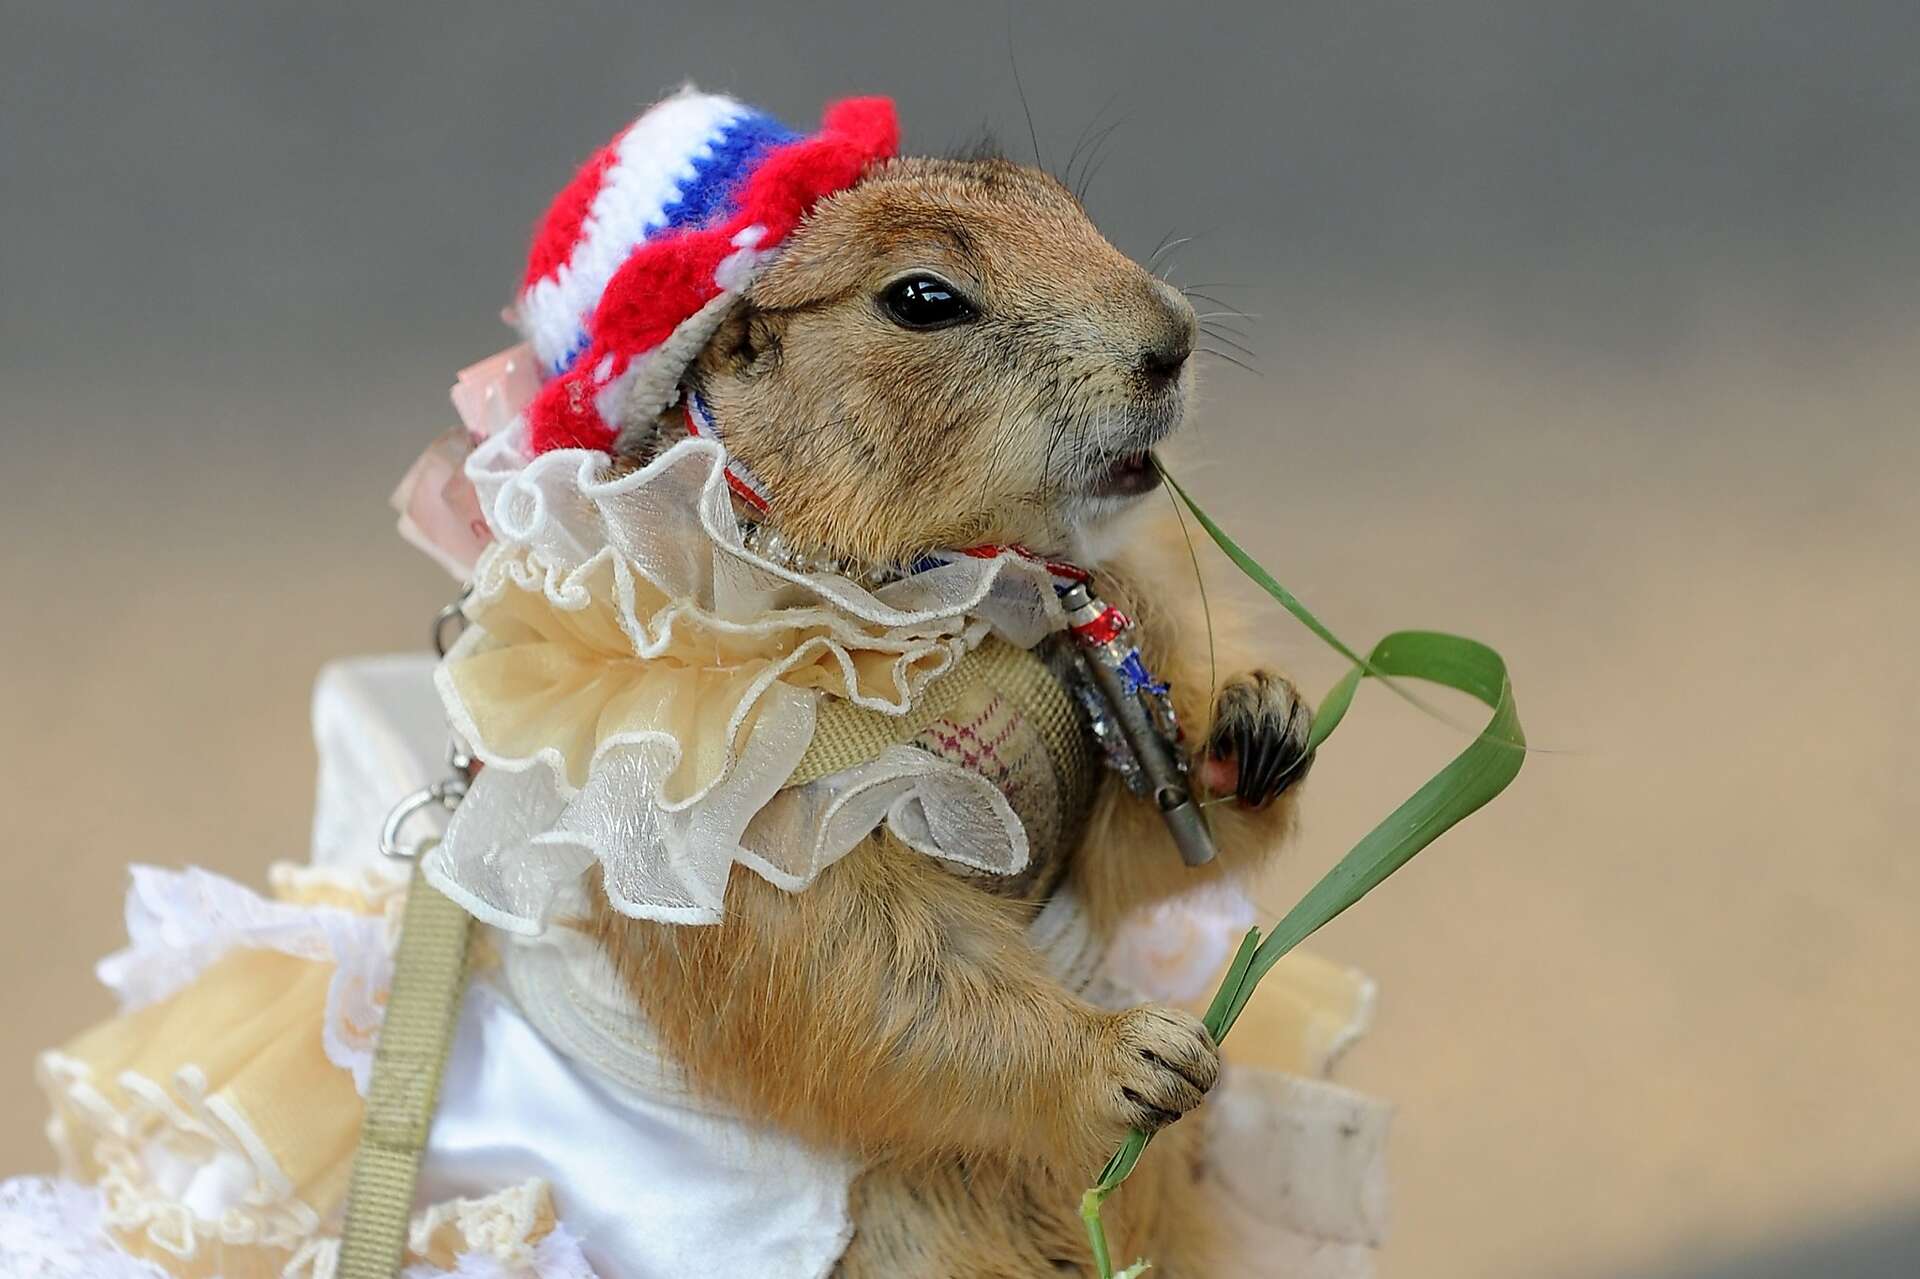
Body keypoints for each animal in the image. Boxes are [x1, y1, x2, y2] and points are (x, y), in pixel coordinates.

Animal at [588, 151, 1316, 1276]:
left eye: (1060, 199)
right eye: (923, 298)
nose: (1177, 335)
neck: (943, 594)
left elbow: (1128, 852)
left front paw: (1258, 726)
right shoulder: (726, 792)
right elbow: (850, 961)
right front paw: (1134, 1058)